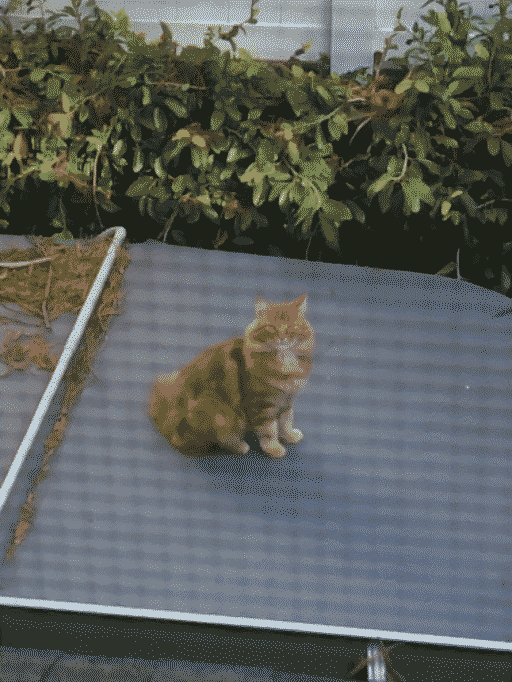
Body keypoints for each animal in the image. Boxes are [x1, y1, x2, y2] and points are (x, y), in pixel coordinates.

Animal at [149, 292, 316, 456]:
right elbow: (269, 430)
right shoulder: (262, 404)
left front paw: (290, 435)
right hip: (221, 415)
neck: (285, 361)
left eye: (290, 326)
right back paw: (242, 446)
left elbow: (286, 420)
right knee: (223, 440)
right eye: (272, 327)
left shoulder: (287, 399)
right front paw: (274, 448)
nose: (282, 338)